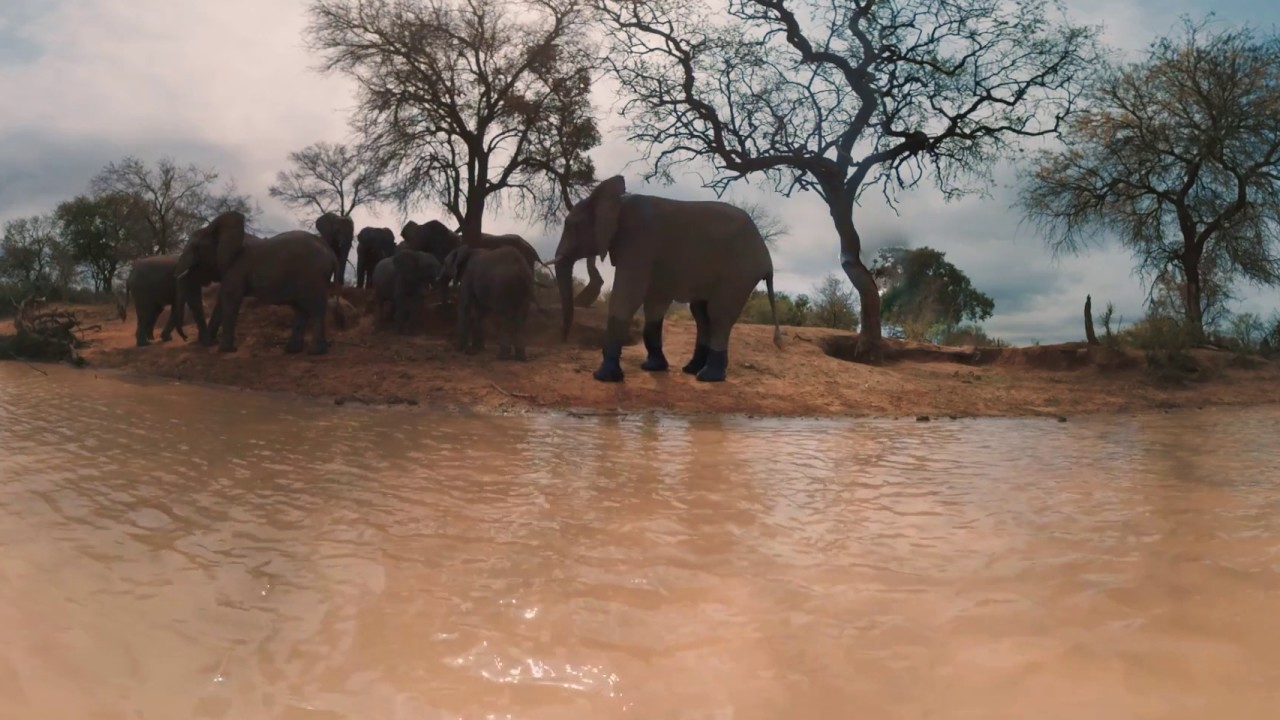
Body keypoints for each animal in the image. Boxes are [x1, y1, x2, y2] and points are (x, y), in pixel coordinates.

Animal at [175, 211, 342, 355]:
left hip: (313, 276)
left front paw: (225, 350)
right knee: (302, 310)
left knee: (315, 309)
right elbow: (221, 300)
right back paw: (292, 350)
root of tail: (331, 254)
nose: (186, 338)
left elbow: (231, 299)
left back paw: (316, 352)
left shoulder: (237, 267)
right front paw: (212, 344)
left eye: (195, 247)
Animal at [552, 175, 781, 383]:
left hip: (739, 271)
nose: (564, 339)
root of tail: (767, 258)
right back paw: (691, 369)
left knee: (719, 315)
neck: (616, 202)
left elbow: (628, 295)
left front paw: (603, 377)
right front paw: (652, 367)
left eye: (572, 226)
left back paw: (708, 376)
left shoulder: (639, 242)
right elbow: (654, 303)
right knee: (701, 314)